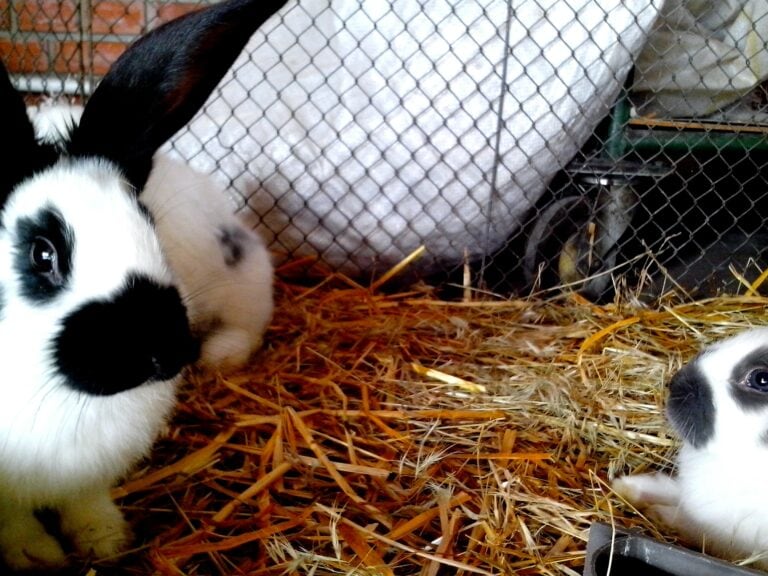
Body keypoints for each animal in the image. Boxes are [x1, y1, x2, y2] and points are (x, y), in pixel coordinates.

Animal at [613, 327, 768, 570]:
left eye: (762, 379)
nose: (676, 382)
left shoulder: (722, 534)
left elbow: (689, 524)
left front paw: (657, 513)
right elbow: (668, 489)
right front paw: (625, 486)